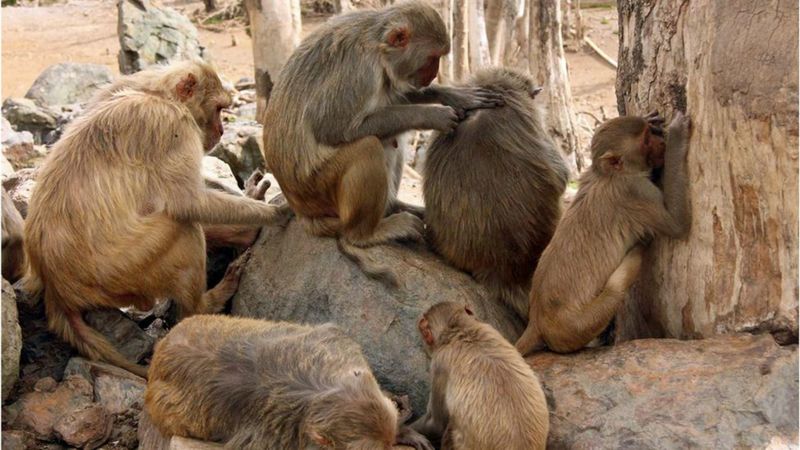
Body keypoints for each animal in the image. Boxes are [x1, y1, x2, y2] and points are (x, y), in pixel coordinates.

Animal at [23, 61, 289, 378]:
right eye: (218, 109)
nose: (222, 130)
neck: (159, 94)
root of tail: (55, 288)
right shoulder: (173, 126)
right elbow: (187, 202)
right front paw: (273, 214)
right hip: (127, 270)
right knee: (182, 226)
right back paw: (205, 303)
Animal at [262, 1, 504, 286]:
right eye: (432, 57)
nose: (434, 74)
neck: (377, 44)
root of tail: (302, 212)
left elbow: (397, 94)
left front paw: (455, 96)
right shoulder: (359, 70)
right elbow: (331, 127)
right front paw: (434, 115)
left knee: (392, 139)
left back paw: (394, 207)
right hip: (318, 189)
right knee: (368, 147)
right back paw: (366, 233)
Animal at [516, 112, 692, 355]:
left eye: (649, 132)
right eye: (647, 141)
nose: (661, 143)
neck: (609, 175)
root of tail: (536, 321)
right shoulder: (636, 190)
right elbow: (678, 224)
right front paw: (676, 136)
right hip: (575, 327)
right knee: (615, 291)